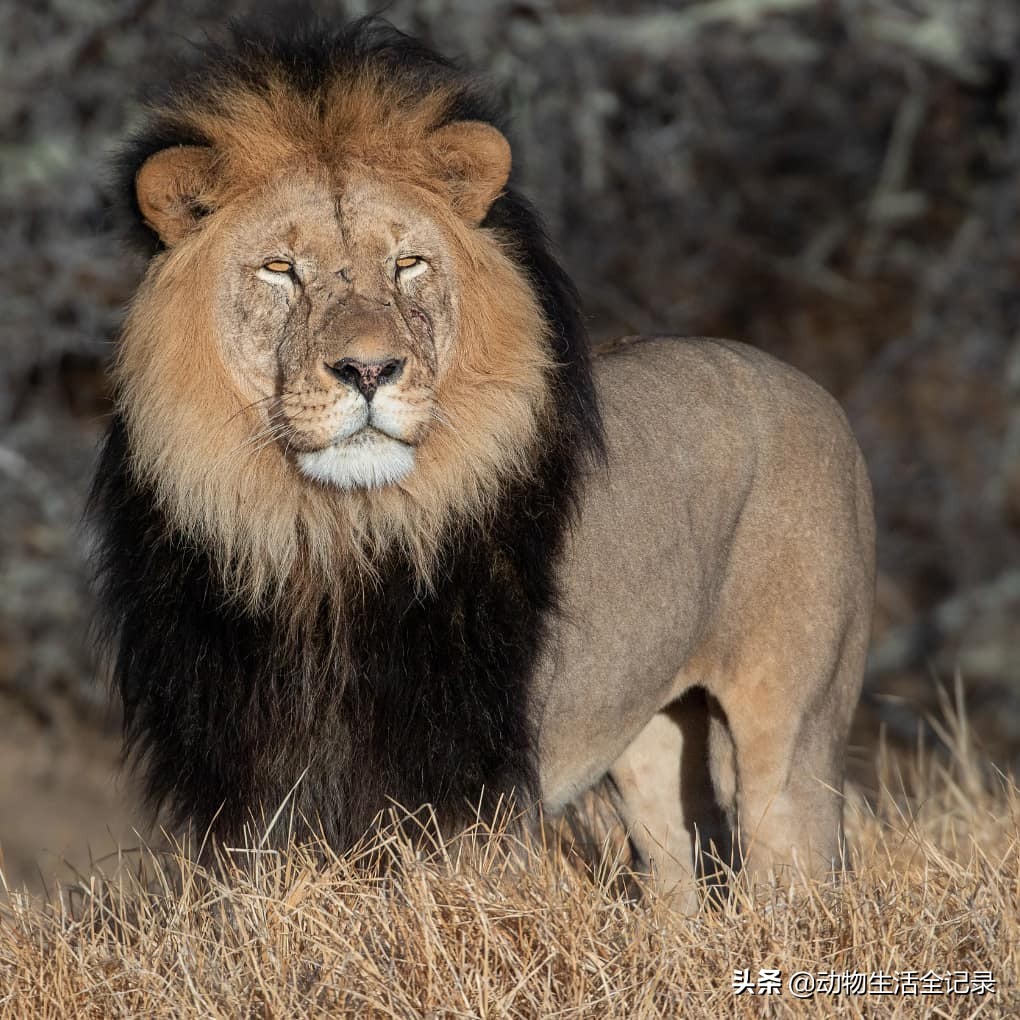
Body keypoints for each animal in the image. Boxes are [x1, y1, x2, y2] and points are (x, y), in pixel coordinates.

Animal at [89, 17, 874, 910]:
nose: (369, 369)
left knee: (793, 857)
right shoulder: (245, 778)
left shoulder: (470, 776)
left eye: (407, 264)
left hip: (792, 724)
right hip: (648, 736)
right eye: (281, 269)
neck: (327, 536)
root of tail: (809, 386)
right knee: (682, 864)